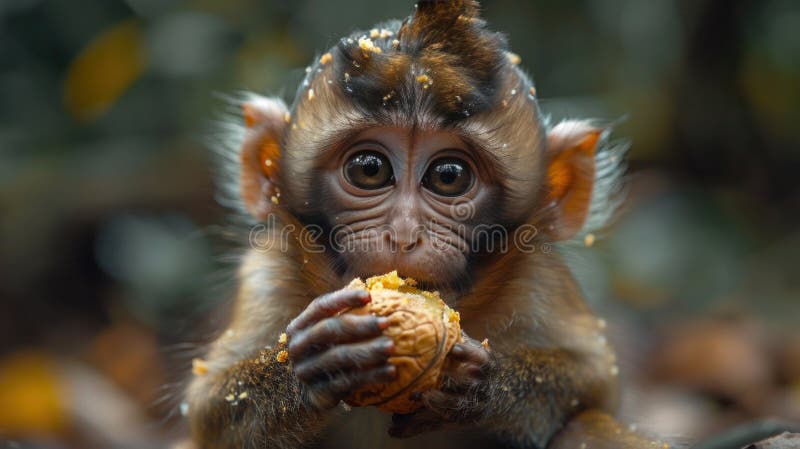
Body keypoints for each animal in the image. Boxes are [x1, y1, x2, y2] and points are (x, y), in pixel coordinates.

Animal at [184, 1, 671, 448]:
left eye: (448, 176)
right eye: (369, 169)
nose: (403, 234)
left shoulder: (540, 282)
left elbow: (594, 381)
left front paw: (482, 387)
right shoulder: (269, 275)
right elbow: (210, 411)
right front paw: (313, 366)